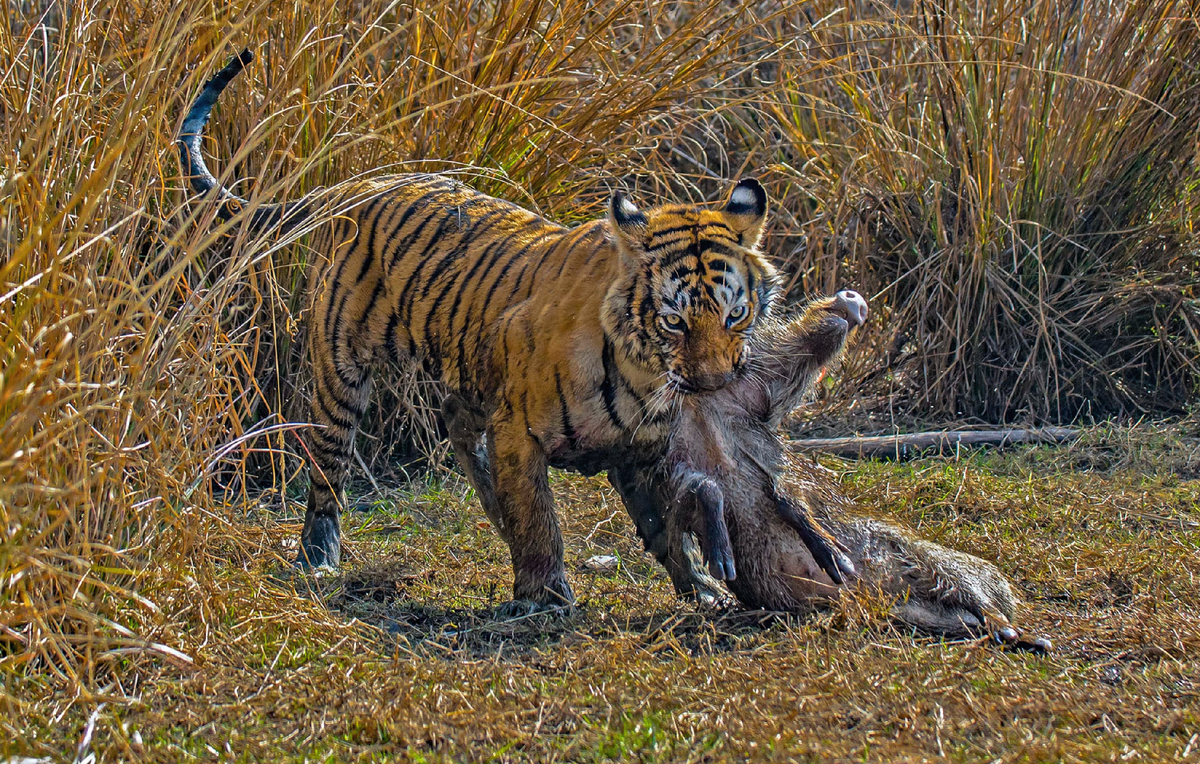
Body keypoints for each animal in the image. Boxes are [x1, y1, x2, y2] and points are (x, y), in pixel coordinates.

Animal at [177, 49, 854, 614]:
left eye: (735, 314)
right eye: (674, 320)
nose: (714, 386)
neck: (644, 377)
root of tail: (359, 182)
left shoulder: (640, 450)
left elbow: (662, 523)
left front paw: (700, 586)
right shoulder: (519, 431)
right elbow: (539, 518)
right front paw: (546, 594)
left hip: (469, 368)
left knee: (454, 421)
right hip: (343, 369)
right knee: (327, 467)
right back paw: (319, 556)